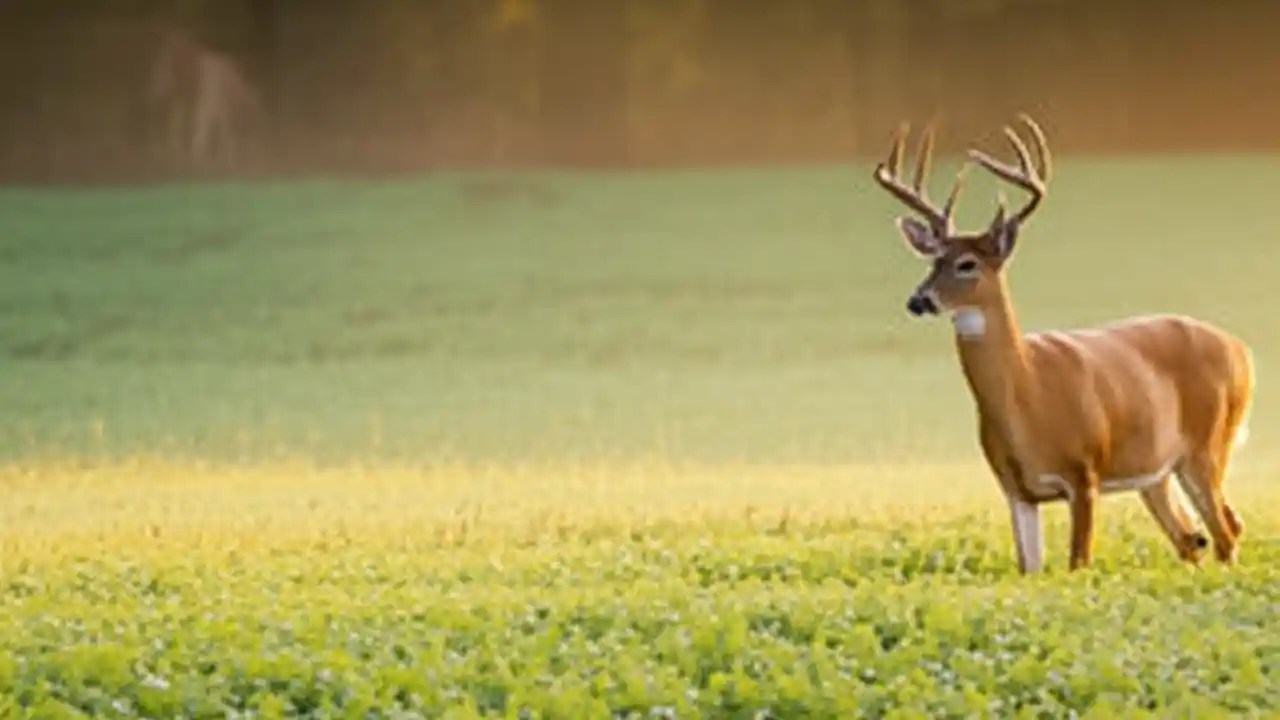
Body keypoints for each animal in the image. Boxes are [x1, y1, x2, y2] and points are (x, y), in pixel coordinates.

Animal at [873, 115, 1255, 574]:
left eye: (967, 264)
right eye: (933, 261)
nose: (918, 300)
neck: (1028, 397)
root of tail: (1242, 350)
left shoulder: (1084, 472)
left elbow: (1078, 563)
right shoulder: (1015, 489)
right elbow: (1029, 569)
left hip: (1209, 443)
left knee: (1225, 531)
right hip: (1157, 472)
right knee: (1194, 537)